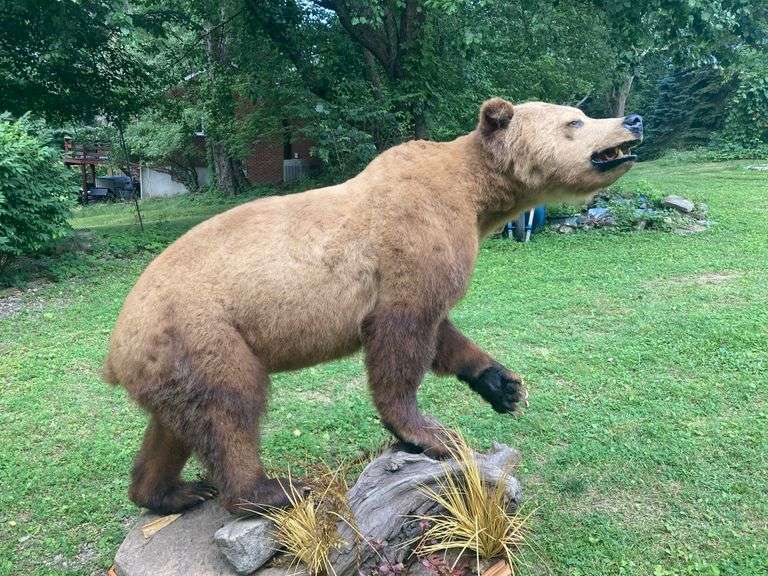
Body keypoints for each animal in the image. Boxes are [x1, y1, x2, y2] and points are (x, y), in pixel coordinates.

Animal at [103, 98, 643, 515]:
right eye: (575, 121)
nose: (633, 119)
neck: (474, 197)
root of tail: (114, 350)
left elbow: (443, 333)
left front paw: (503, 385)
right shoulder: (411, 245)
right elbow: (403, 337)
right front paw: (429, 432)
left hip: (168, 366)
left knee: (173, 428)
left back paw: (172, 492)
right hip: (203, 332)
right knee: (231, 407)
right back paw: (271, 490)